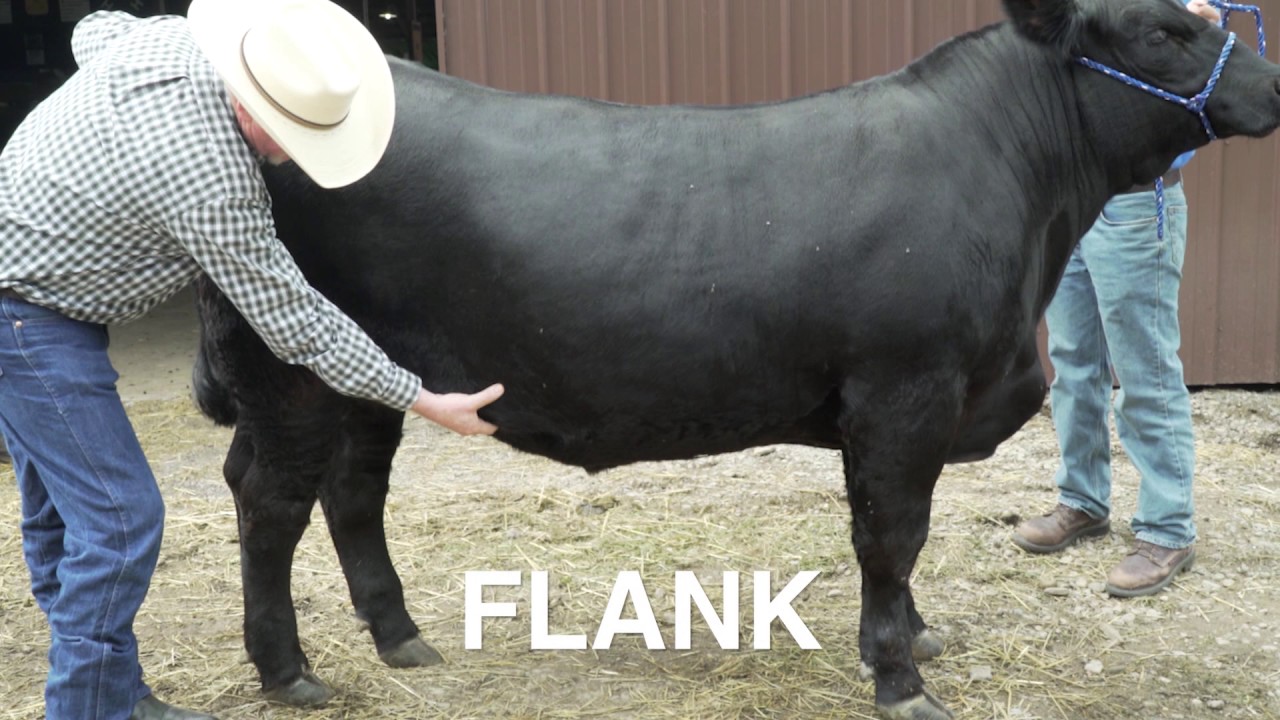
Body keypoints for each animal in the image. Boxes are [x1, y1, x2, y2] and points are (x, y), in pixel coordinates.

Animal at [191, 0, 1280, 718]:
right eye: (1160, 32)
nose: (1272, 85)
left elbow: (895, 540)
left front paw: (909, 638)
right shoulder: (904, 392)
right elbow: (891, 537)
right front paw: (901, 680)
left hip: (362, 377)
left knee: (353, 493)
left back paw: (401, 638)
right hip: (286, 368)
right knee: (270, 500)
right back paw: (288, 672)